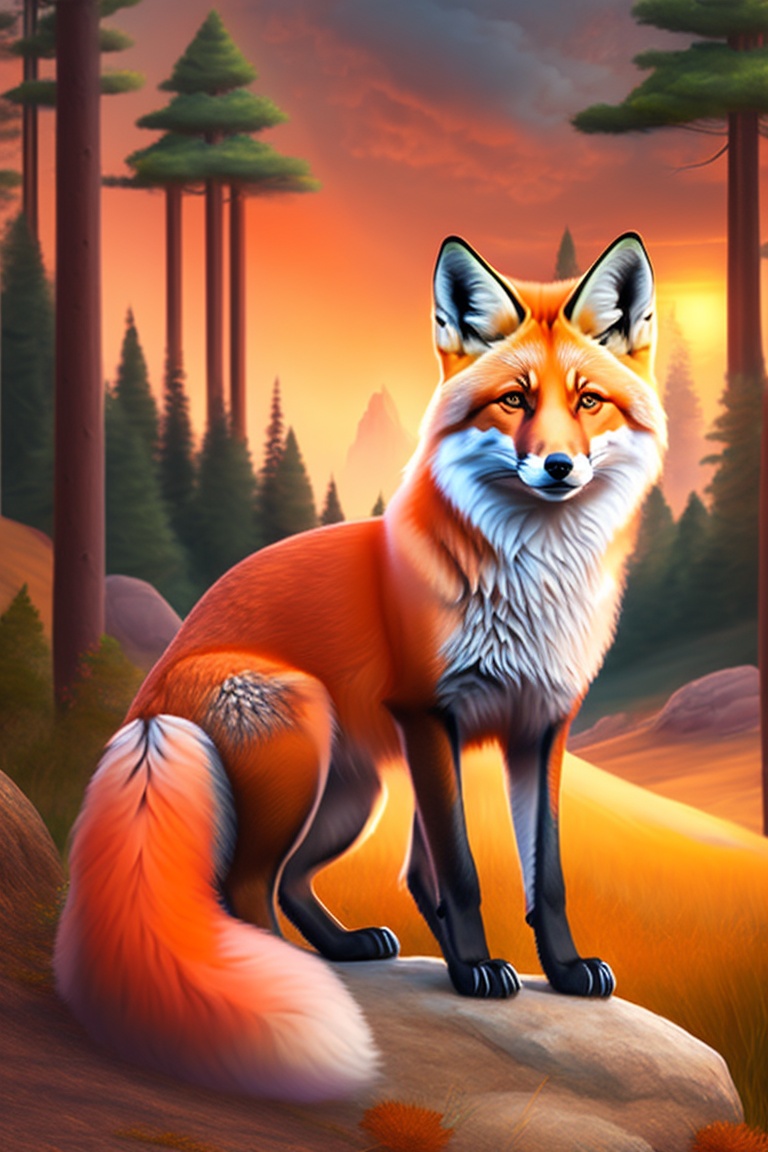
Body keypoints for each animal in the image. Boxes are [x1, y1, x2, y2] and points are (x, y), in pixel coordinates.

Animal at [54, 232, 666, 1103]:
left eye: (588, 402)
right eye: (514, 400)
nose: (556, 467)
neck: (531, 582)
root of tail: (146, 705)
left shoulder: (540, 726)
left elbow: (537, 873)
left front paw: (564, 968)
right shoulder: (429, 714)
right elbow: (459, 867)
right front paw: (475, 970)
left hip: (351, 796)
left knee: (288, 881)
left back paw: (346, 947)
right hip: (300, 738)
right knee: (242, 889)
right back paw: (291, 973)